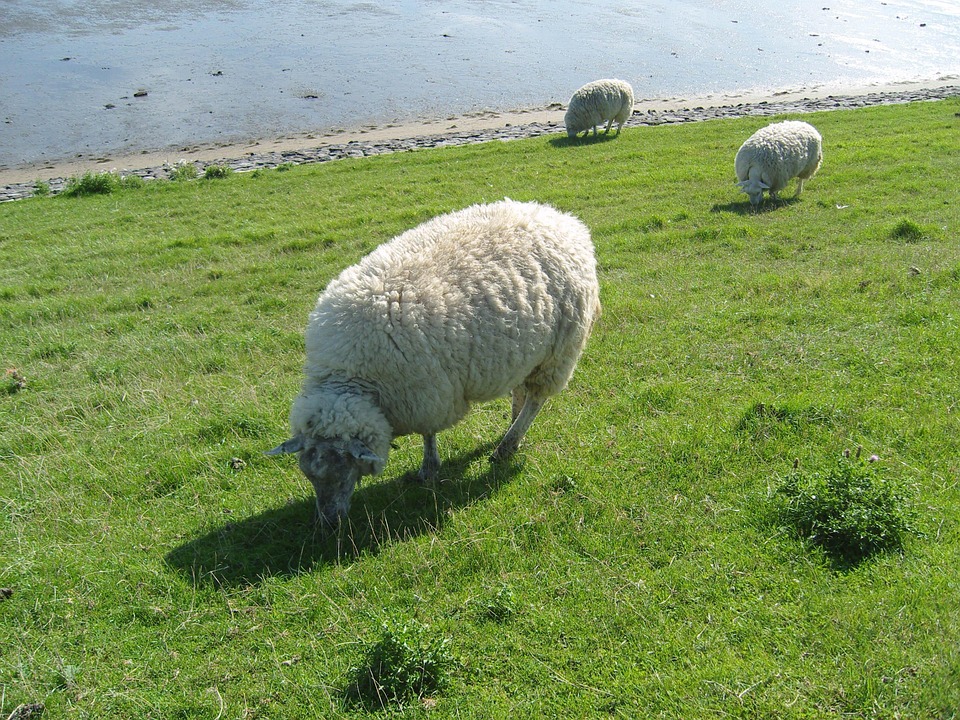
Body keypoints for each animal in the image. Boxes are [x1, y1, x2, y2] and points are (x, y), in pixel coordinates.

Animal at [267, 199, 601, 529]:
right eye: (309, 475)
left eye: (346, 467)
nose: (329, 523)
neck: (351, 376)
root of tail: (562, 219)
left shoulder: (426, 393)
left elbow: (427, 433)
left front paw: (428, 468)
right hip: (529, 351)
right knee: (521, 391)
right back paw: (511, 427)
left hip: (558, 351)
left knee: (536, 399)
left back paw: (507, 445)